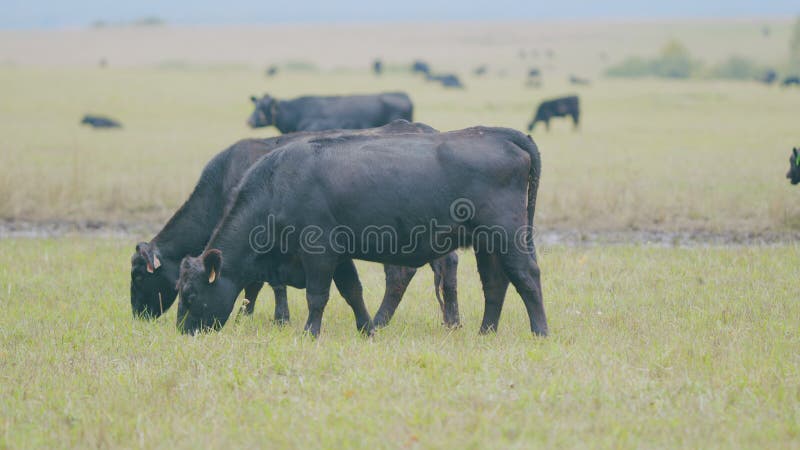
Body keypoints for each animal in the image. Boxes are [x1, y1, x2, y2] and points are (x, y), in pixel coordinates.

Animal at [131, 120, 460, 328]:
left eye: (137, 275)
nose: (138, 314)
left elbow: (263, 285)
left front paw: (270, 318)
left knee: (399, 275)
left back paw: (383, 320)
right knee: (448, 270)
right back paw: (451, 320)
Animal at [175, 126, 546, 338]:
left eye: (190, 294)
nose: (182, 332)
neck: (279, 185)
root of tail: (498, 134)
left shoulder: (318, 252)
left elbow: (318, 295)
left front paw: (310, 333)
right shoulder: (340, 255)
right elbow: (352, 291)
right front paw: (367, 329)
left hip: (508, 236)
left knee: (527, 276)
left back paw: (540, 331)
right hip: (487, 244)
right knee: (495, 284)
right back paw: (486, 332)